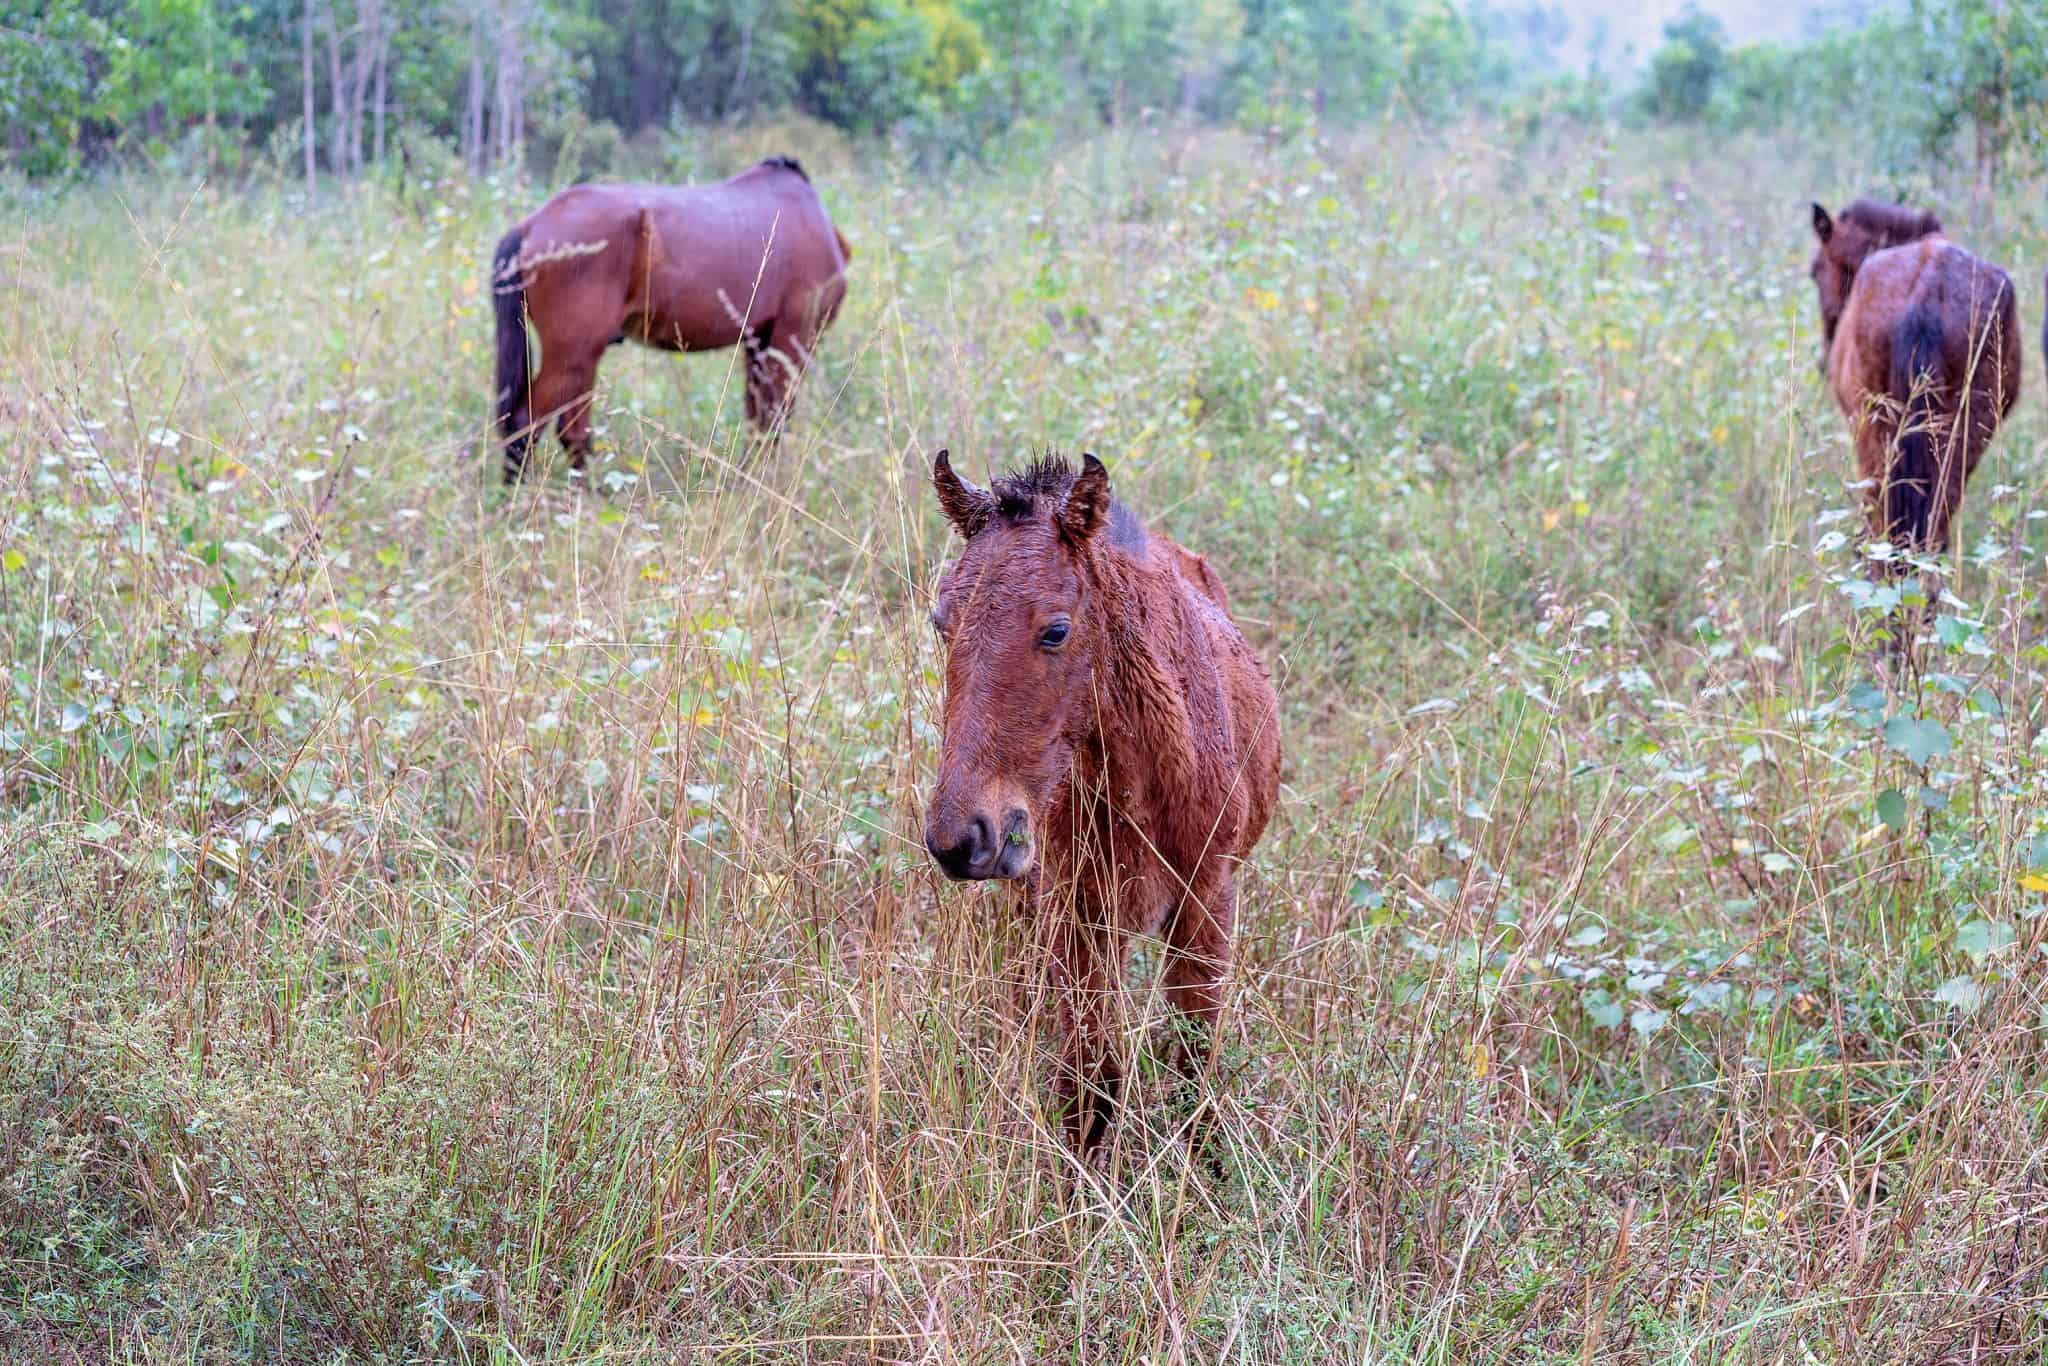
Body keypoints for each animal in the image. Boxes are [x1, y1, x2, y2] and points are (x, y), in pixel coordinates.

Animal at [490, 157, 852, 484]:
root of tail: (531, 226)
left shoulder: (759, 342)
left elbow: (757, 420)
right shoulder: (791, 339)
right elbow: (772, 421)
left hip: (582, 358)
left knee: (571, 431)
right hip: (572, 355)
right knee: (527, 423)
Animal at [923, 450, 1282, 1160]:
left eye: (1056, 629)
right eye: (941, 621)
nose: (964, 838)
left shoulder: (1208, 901)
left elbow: (1191, 1066)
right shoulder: (1078, 918)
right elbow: (1090, 1080)